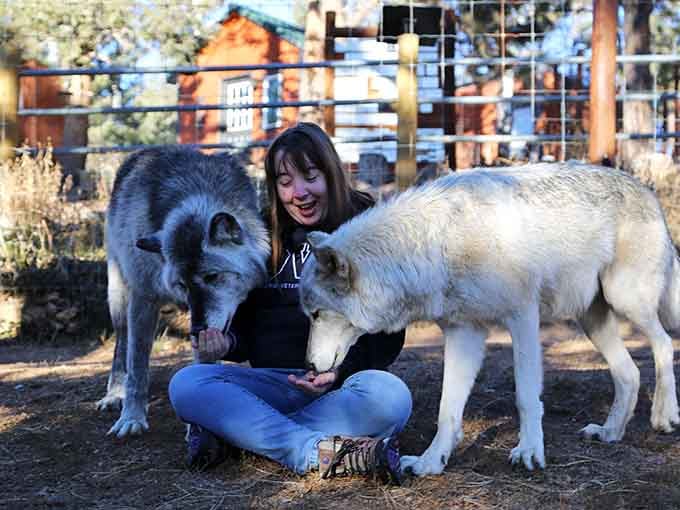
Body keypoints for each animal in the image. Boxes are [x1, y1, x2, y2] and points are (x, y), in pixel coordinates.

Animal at [97, 147, 269, 437]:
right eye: (182, 284)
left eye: (211, 276)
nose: (197, 329)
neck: (197, 196)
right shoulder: (143, 297)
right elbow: (137, 366)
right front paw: (131, 418)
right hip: (119, 298)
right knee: (122, 345)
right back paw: (114, 394)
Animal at [299, 161, 680, 475]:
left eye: (316, 314)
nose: (309, 365)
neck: (440, 243)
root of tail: (647, 190)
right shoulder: (463, 333)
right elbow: (447, 409)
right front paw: (430, 462)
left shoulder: (522, 319)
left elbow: (525, 396)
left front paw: (529, 451)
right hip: (592, 319)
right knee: (630, 373)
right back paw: (610, 432)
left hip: (626, 299)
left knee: (663, 344)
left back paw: (664, 415)